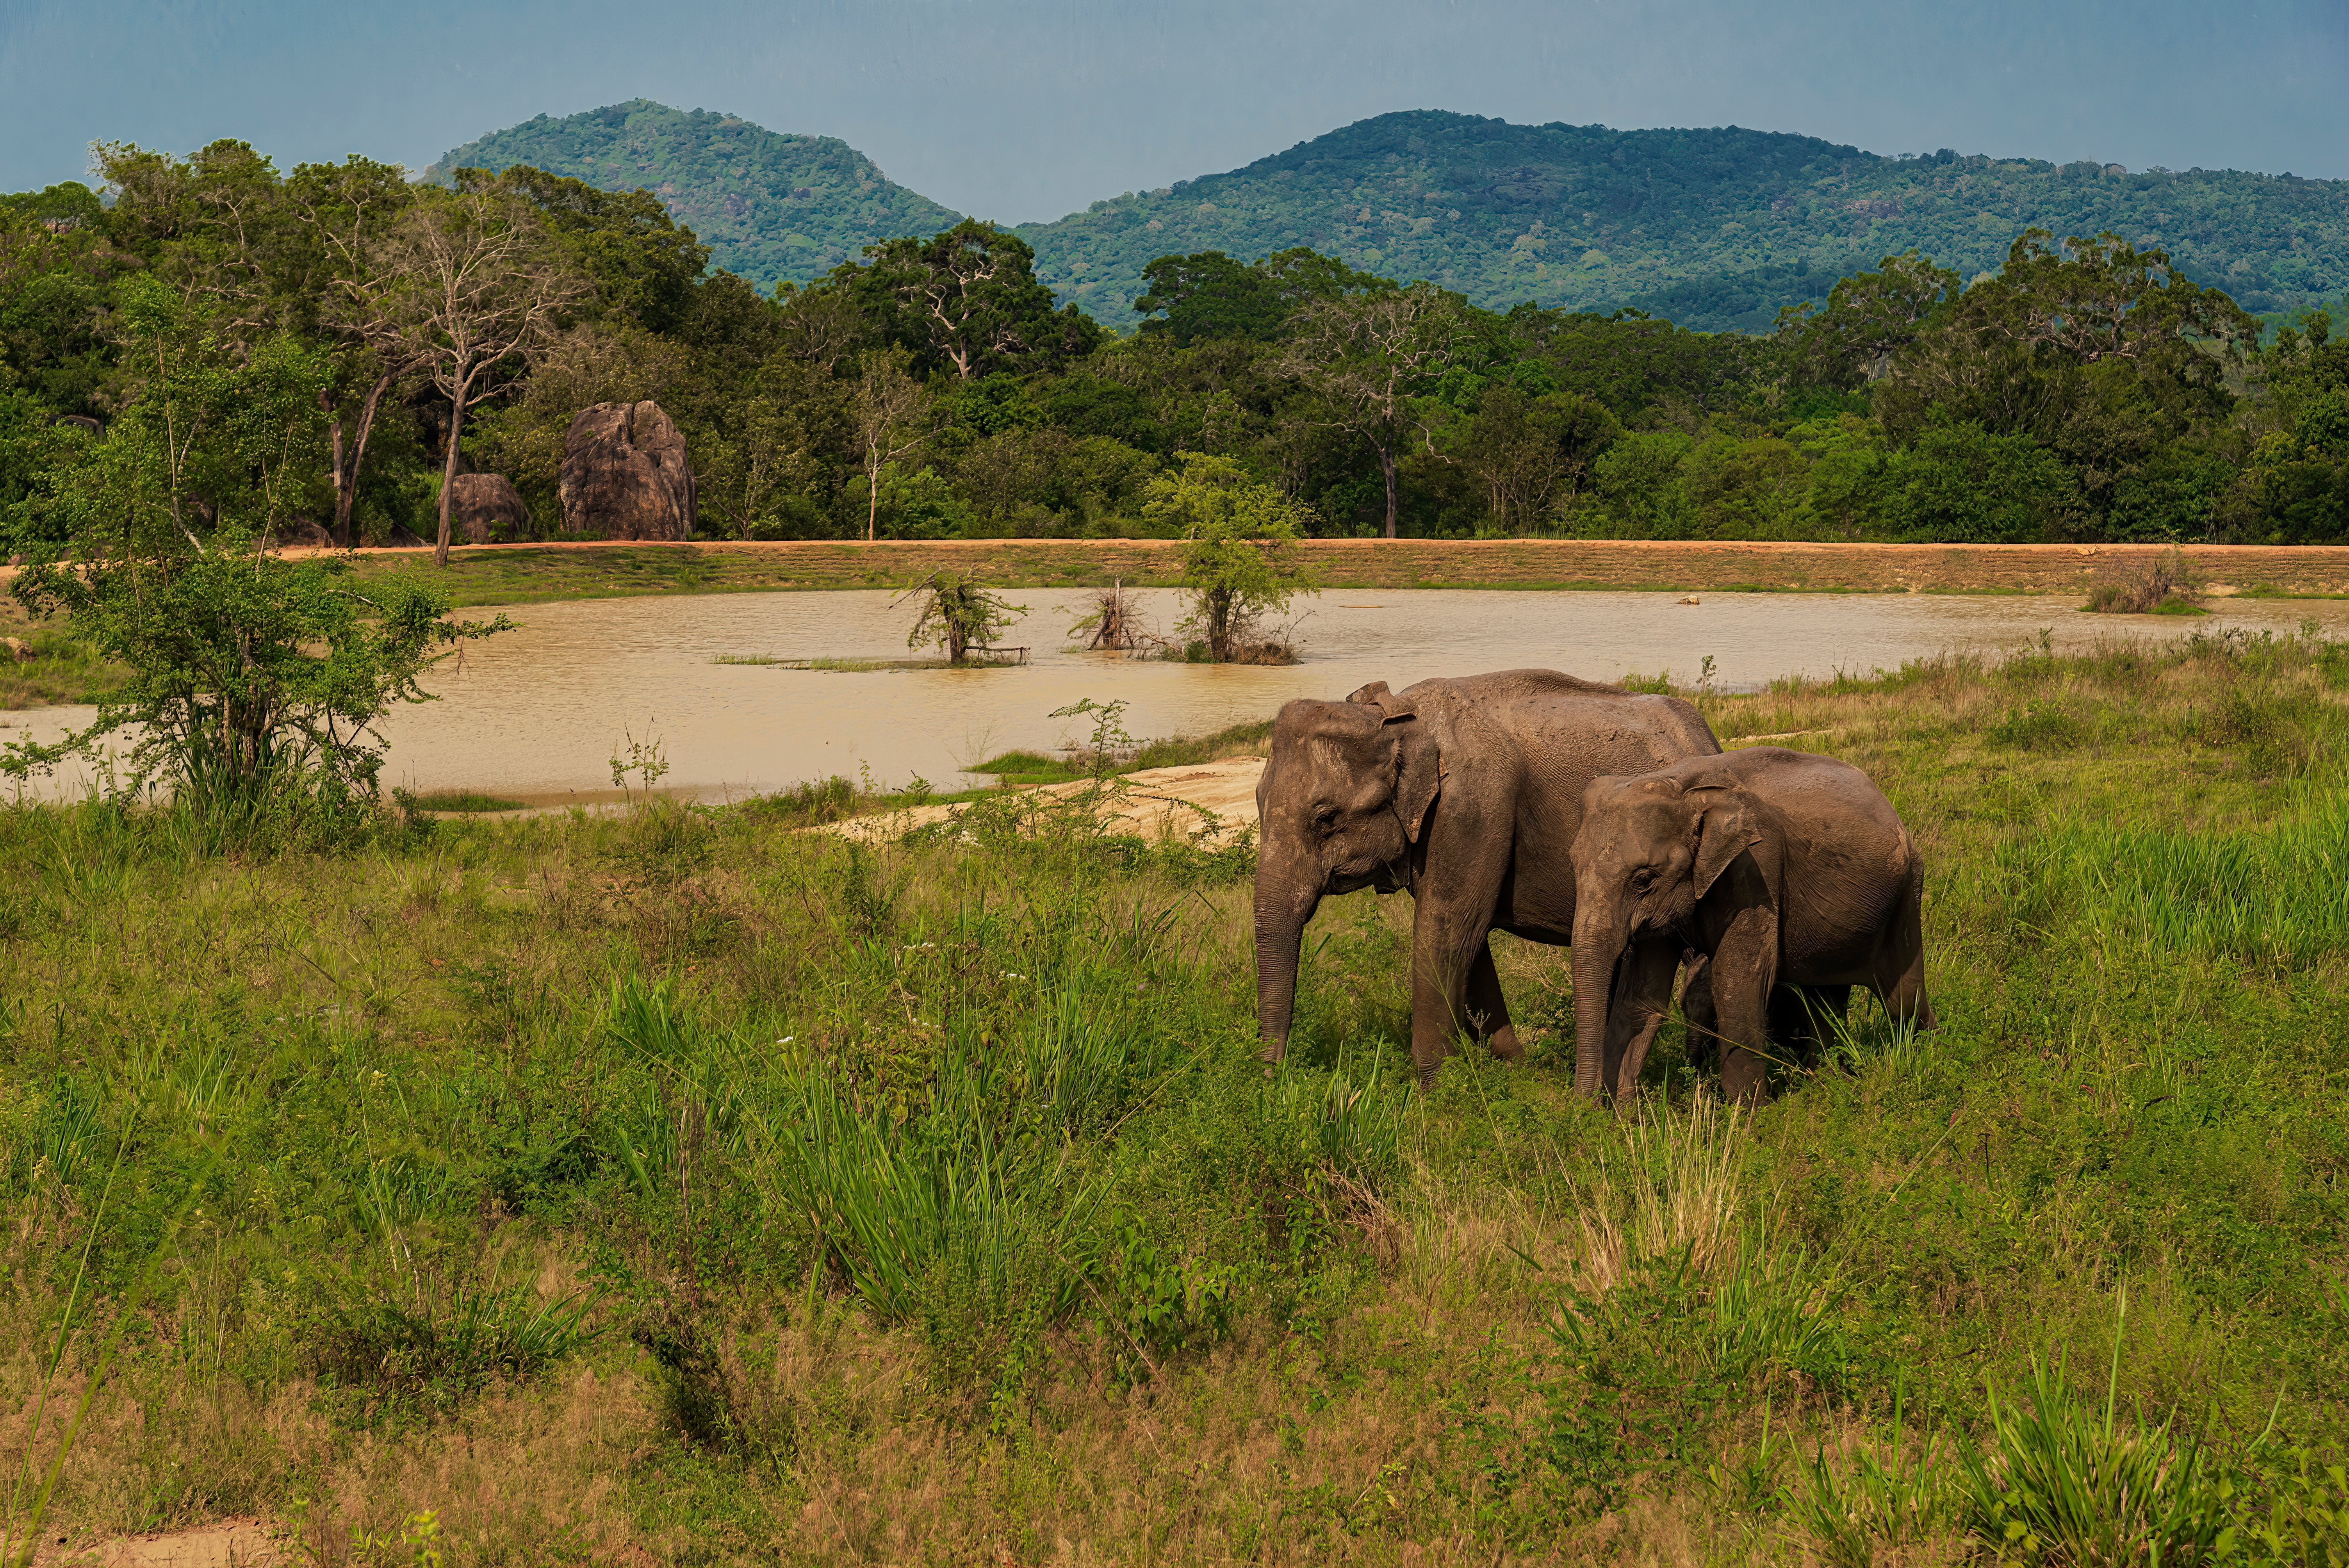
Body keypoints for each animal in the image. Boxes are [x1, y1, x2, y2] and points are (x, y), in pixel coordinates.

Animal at [1252, 669, 1723, 1078]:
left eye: (1326, 818)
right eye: (1258, 802)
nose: (1273, 1079)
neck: (1395, 713)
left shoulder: (1472, 807)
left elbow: (1447, 932)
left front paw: (1437, 1090)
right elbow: (1470, 941)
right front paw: (1514, 1067)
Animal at [1568, 746, 1934, 1107]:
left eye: (1643, 879)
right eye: (1572, 866)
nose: (1586, 1108)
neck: (1683, 787)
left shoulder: (1756, 869)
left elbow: (1737, 979)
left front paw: (1747, 1114)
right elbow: (1643, 996)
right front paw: (1623, 1115)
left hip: (1906, 893)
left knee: (1904, 1000)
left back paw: (1928, 1060)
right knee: (1825, 1002)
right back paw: (1829, 1083)